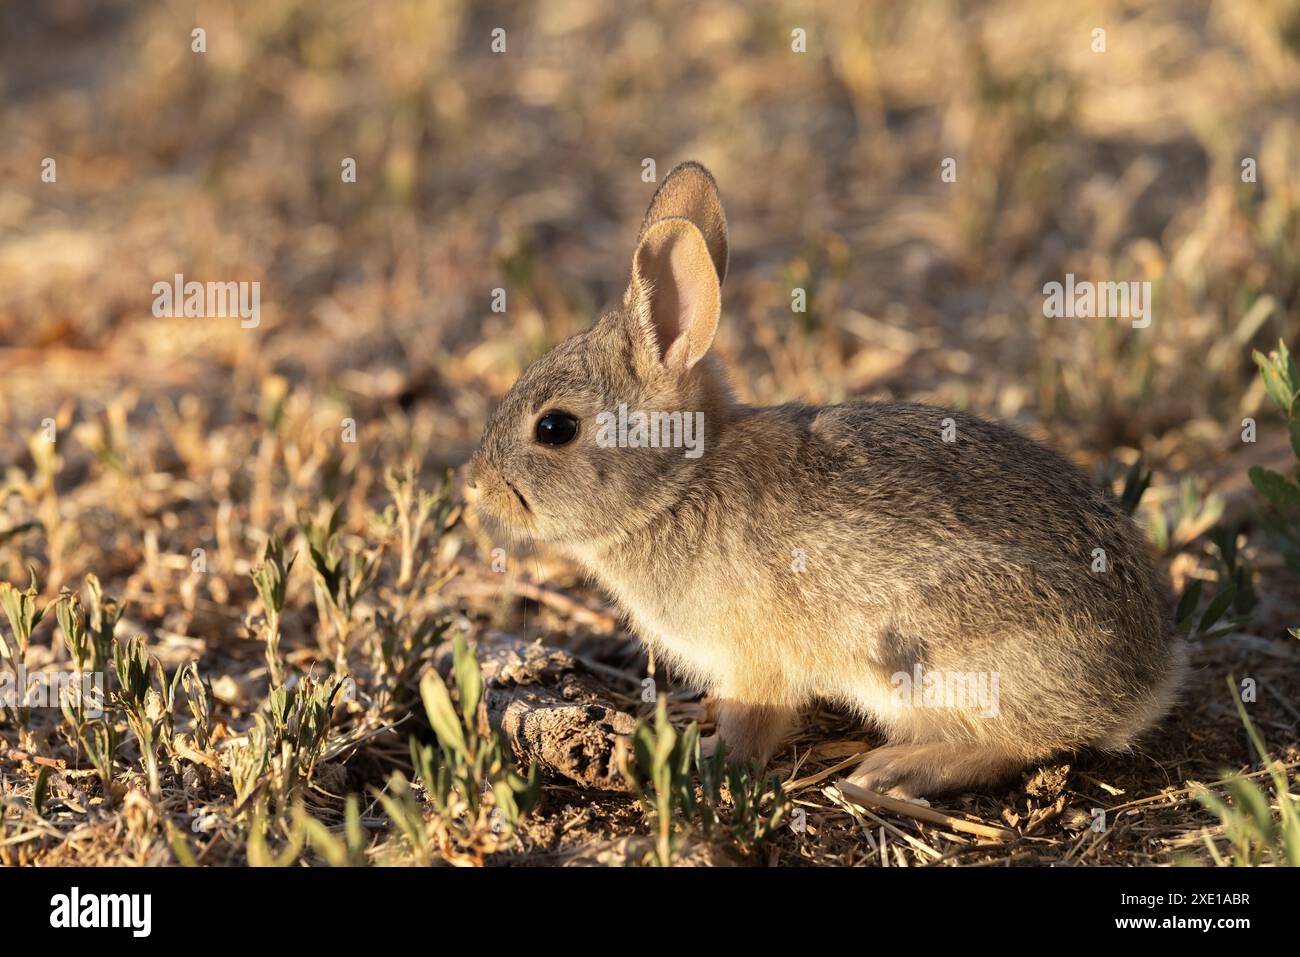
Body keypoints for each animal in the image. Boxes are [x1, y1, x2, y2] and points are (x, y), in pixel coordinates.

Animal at [468, 161, 1186, 799]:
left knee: (1028, 743)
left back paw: (899, 771)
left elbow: (751, 723)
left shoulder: (756, 658)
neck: (677, 483)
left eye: (555, 428)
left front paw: (710, 757)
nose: (475, 486)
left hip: (934, 663)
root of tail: (1145, 679)